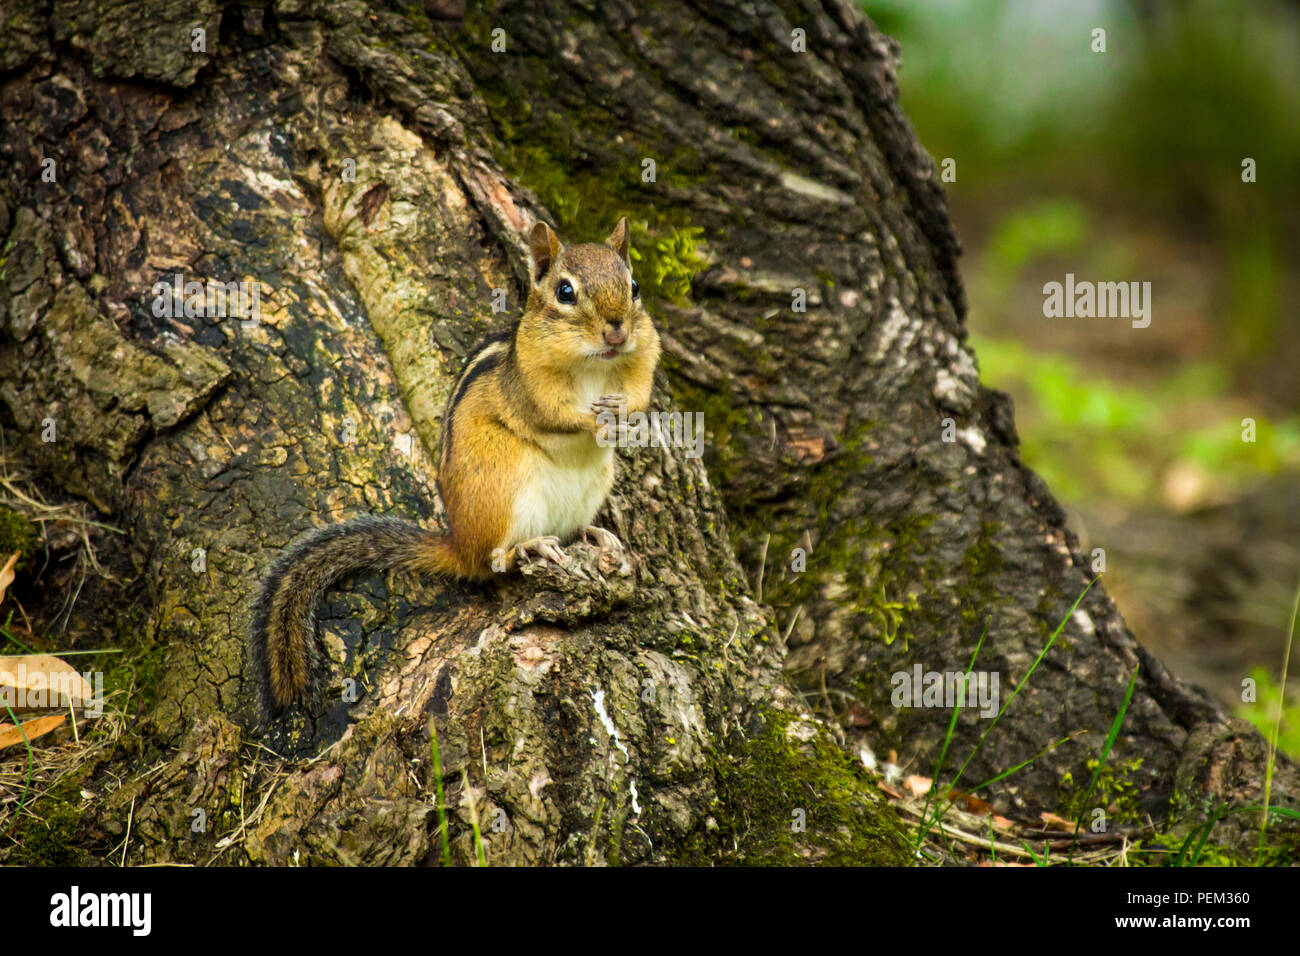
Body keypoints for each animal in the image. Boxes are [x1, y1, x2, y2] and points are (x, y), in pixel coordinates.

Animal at [248, 217, 661, 719]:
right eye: (565, 292)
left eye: (634, 286)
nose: (617, 332)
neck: (596, 365)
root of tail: (458, 542)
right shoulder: (531, 386)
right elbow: (555, 414)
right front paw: (595, 419)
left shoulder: (644, 358)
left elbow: (640, 395)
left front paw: (628, 418)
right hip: (504, 484)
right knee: (494, 560)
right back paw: (530, 547)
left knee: (567, 531)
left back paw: (594, 535)